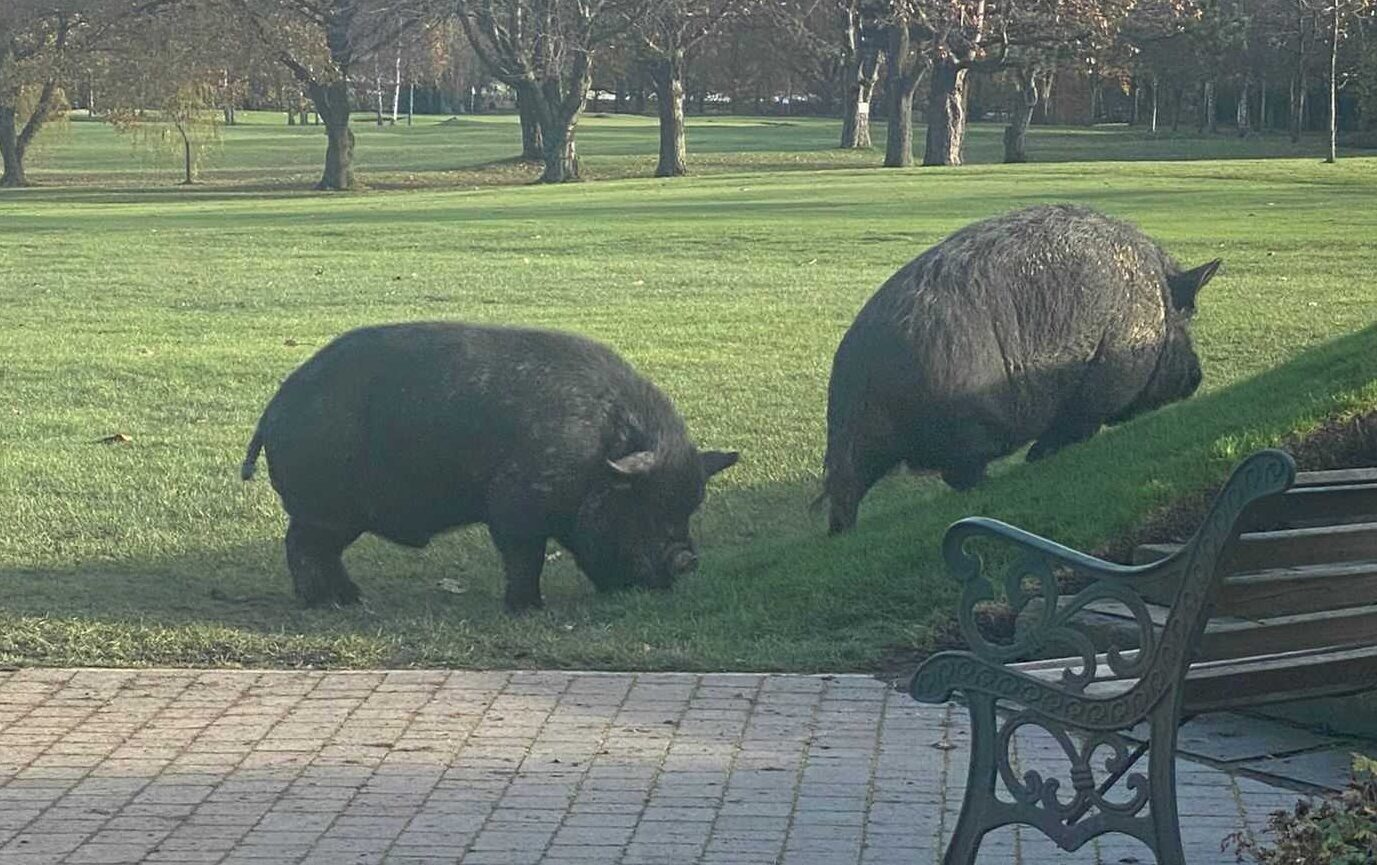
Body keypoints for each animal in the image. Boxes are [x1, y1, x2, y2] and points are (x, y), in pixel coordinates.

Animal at [241, 322, 738, 611]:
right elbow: (524, 556)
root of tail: (273, 409)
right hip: (325, 511)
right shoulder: (516, 505)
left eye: (687, 508)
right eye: (646, 505)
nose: (688, 559)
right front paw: (530, 609)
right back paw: (330, 604)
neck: (596, 456)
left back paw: (353, 599)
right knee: (302, 547)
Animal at [822, 203, 1220, 533]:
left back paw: (842, 532)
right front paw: (1037, 458)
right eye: (1187, 318)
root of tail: (859, 366)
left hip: (858, 439)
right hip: (969, 423)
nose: (1196, 376)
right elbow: (1076, 425)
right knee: (959, 472)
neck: (1157, 303)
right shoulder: (1102, 384)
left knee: (848, 485)